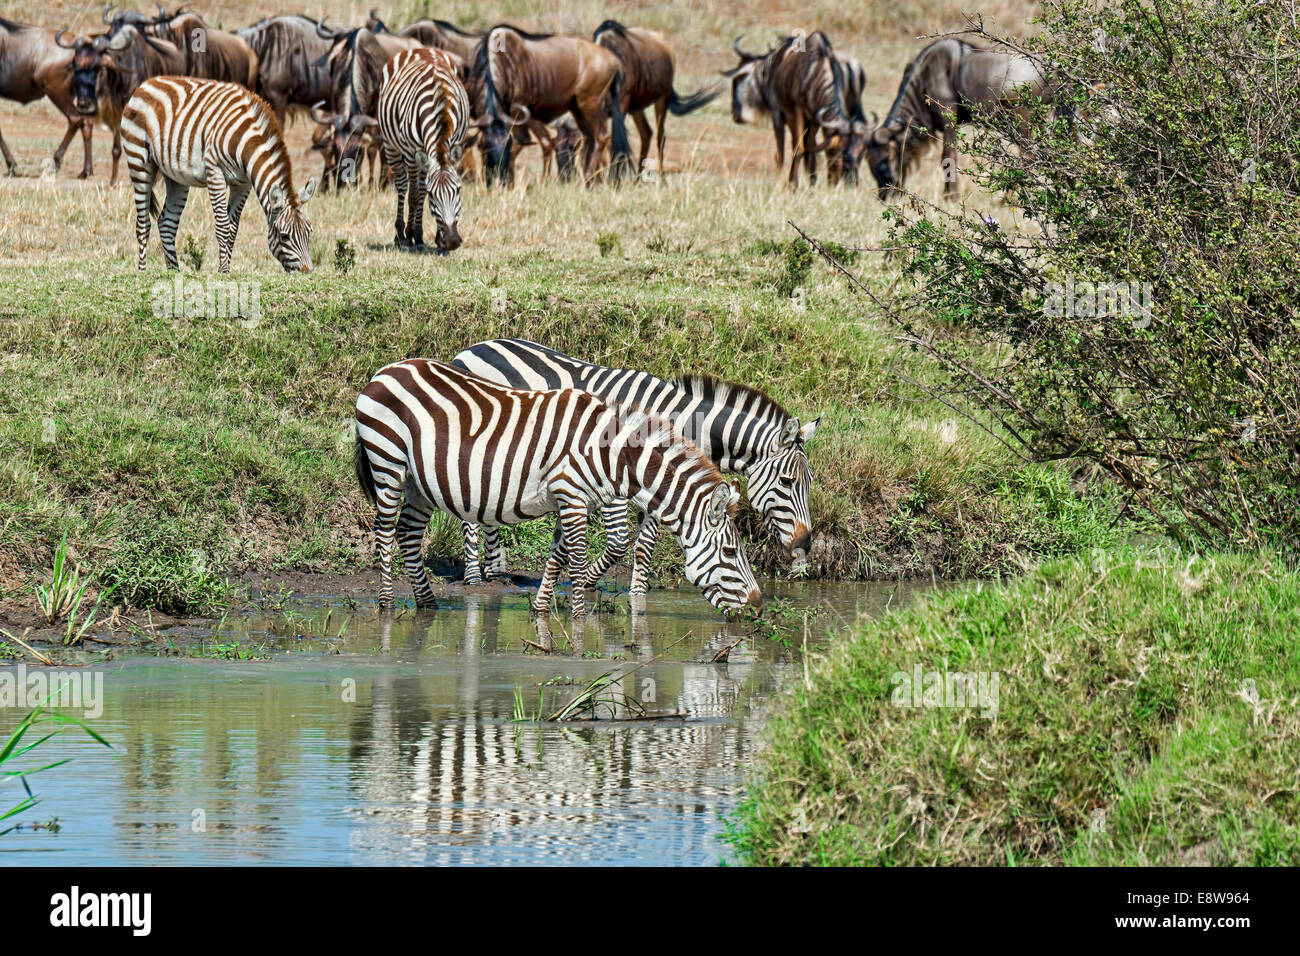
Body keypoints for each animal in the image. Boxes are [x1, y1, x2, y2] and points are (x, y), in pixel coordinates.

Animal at [121, 76, 316, 274]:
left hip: (176, 177)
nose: (307, 271)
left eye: (309, 232)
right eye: (284, 236)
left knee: (167, 223)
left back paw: (174, 271)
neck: (244, 143)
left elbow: (233, 228)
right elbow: (223, 226)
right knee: (143, 223)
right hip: (139, 160)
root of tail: (147, 83)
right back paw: (142, 271)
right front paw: (223, 270)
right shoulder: (215, 173)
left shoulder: (243, 184)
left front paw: (226, 267)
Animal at [354, 359, 762, 618]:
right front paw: (579, 620)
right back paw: (387, 605)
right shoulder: (572, 496)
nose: (758, 605)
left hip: (418, 482)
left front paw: (540, 611)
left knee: (407, 534)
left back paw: (426, 604)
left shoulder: (572, 500)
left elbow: (557, 556)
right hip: (388, 462)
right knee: (385, 532)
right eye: (730, 552)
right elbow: (577, 561)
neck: (613, 454)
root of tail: (388, 369)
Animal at [378, 47, 470, 253]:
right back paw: (402, 235)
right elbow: (415, 194)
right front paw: (415, 236)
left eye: (458, 189)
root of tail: (421, 48)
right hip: (391, 147)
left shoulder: (452, 146)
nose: (452, 241)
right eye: (434, 195)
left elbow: (421, 193)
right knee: (403, 186)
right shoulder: (413, 154)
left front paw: (433, 238)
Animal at [451, 339, 819, 591]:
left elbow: (644, 548)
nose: (804, 546)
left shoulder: (663, 486)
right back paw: (473, 575)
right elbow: (618, 544)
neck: (681, 425)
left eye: (809, 484)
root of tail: (472, 348)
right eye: (787, 482)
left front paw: (637, 599)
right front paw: (585, 583)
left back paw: (494, 570)